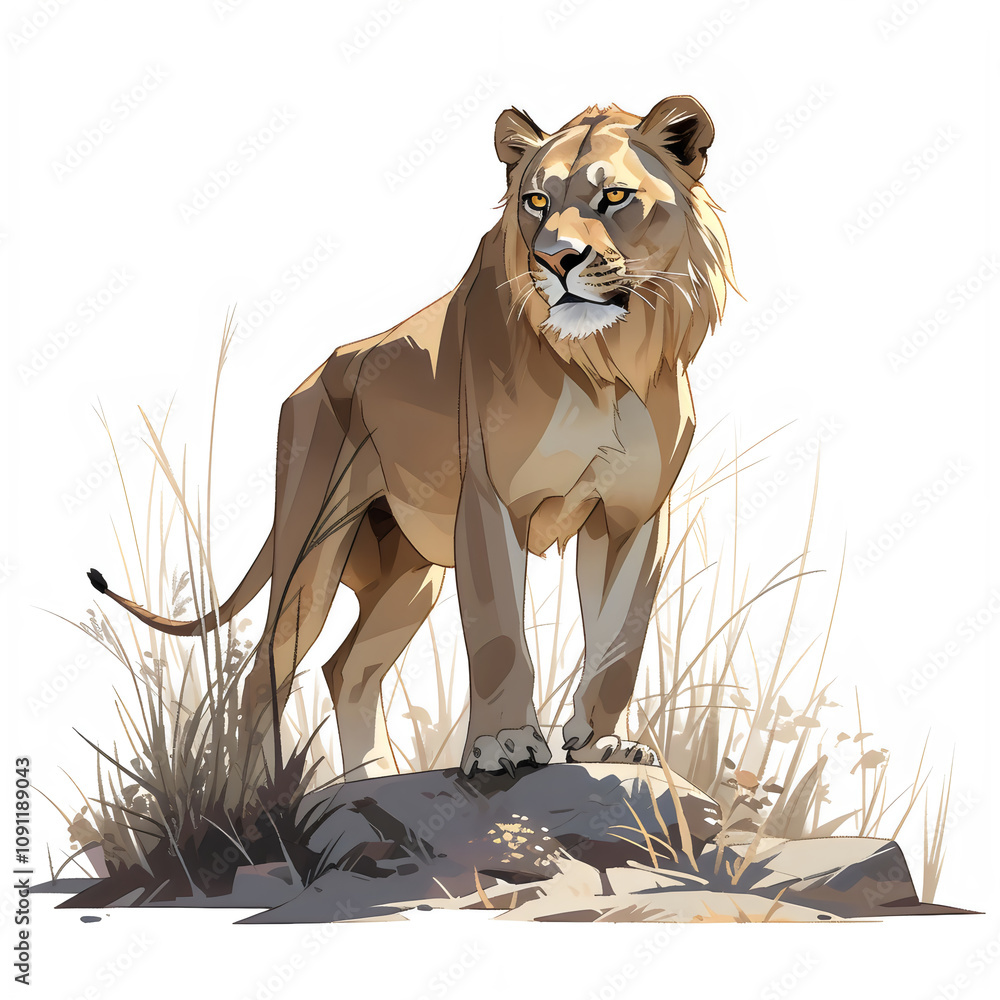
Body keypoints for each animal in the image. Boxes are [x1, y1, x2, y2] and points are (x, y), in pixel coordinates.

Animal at [88, 97, 736, 781]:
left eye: (613, 195)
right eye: (535, 201)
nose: (556, 260)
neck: (604, 365)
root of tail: (310, 382)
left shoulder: (633, 517)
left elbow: (620, 644)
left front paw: (602, 746)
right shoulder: (489, 500)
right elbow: (499, 631)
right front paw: (504, 744)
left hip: (410, 572)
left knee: (348, 667)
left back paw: (369, 778)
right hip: (312, 546)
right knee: (265, 668)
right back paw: (261, 795)